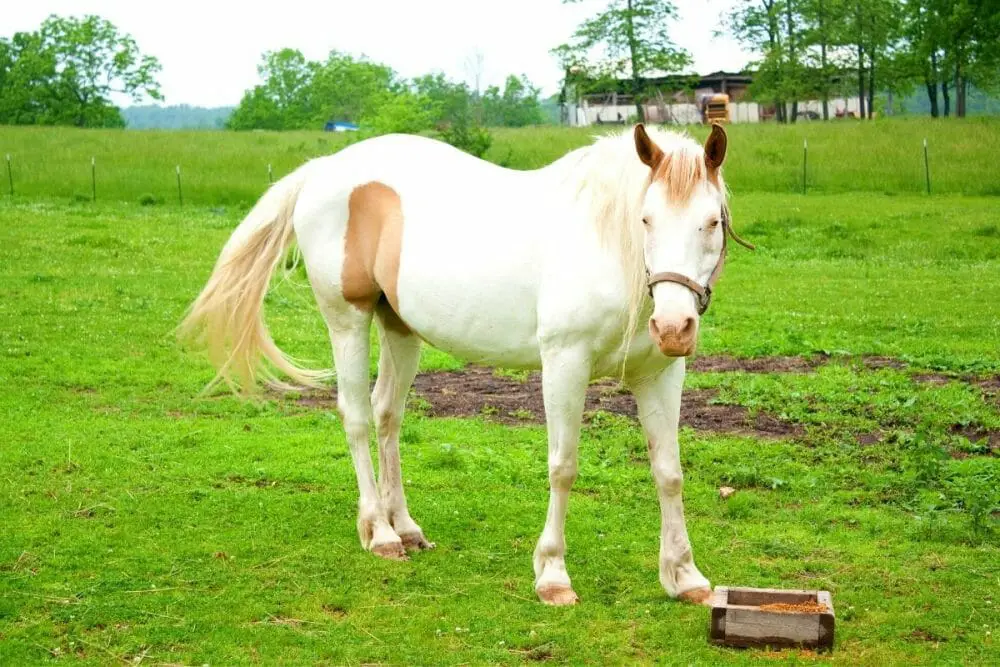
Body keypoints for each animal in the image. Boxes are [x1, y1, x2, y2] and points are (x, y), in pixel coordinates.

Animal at [179, 122, 753, 606]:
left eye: (711, 222)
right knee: (358, 416)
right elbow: (563, 467)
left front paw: (685, 576)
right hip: (347, 320)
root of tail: (325, 169)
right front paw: (552, 574)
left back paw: (405, 527)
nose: (674, 327)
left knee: (388, 415)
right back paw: (380, 532)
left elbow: (669, 472)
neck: (609, 248)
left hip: (399, 328)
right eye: (646, 219)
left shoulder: (659, 374)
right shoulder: (564, 363)